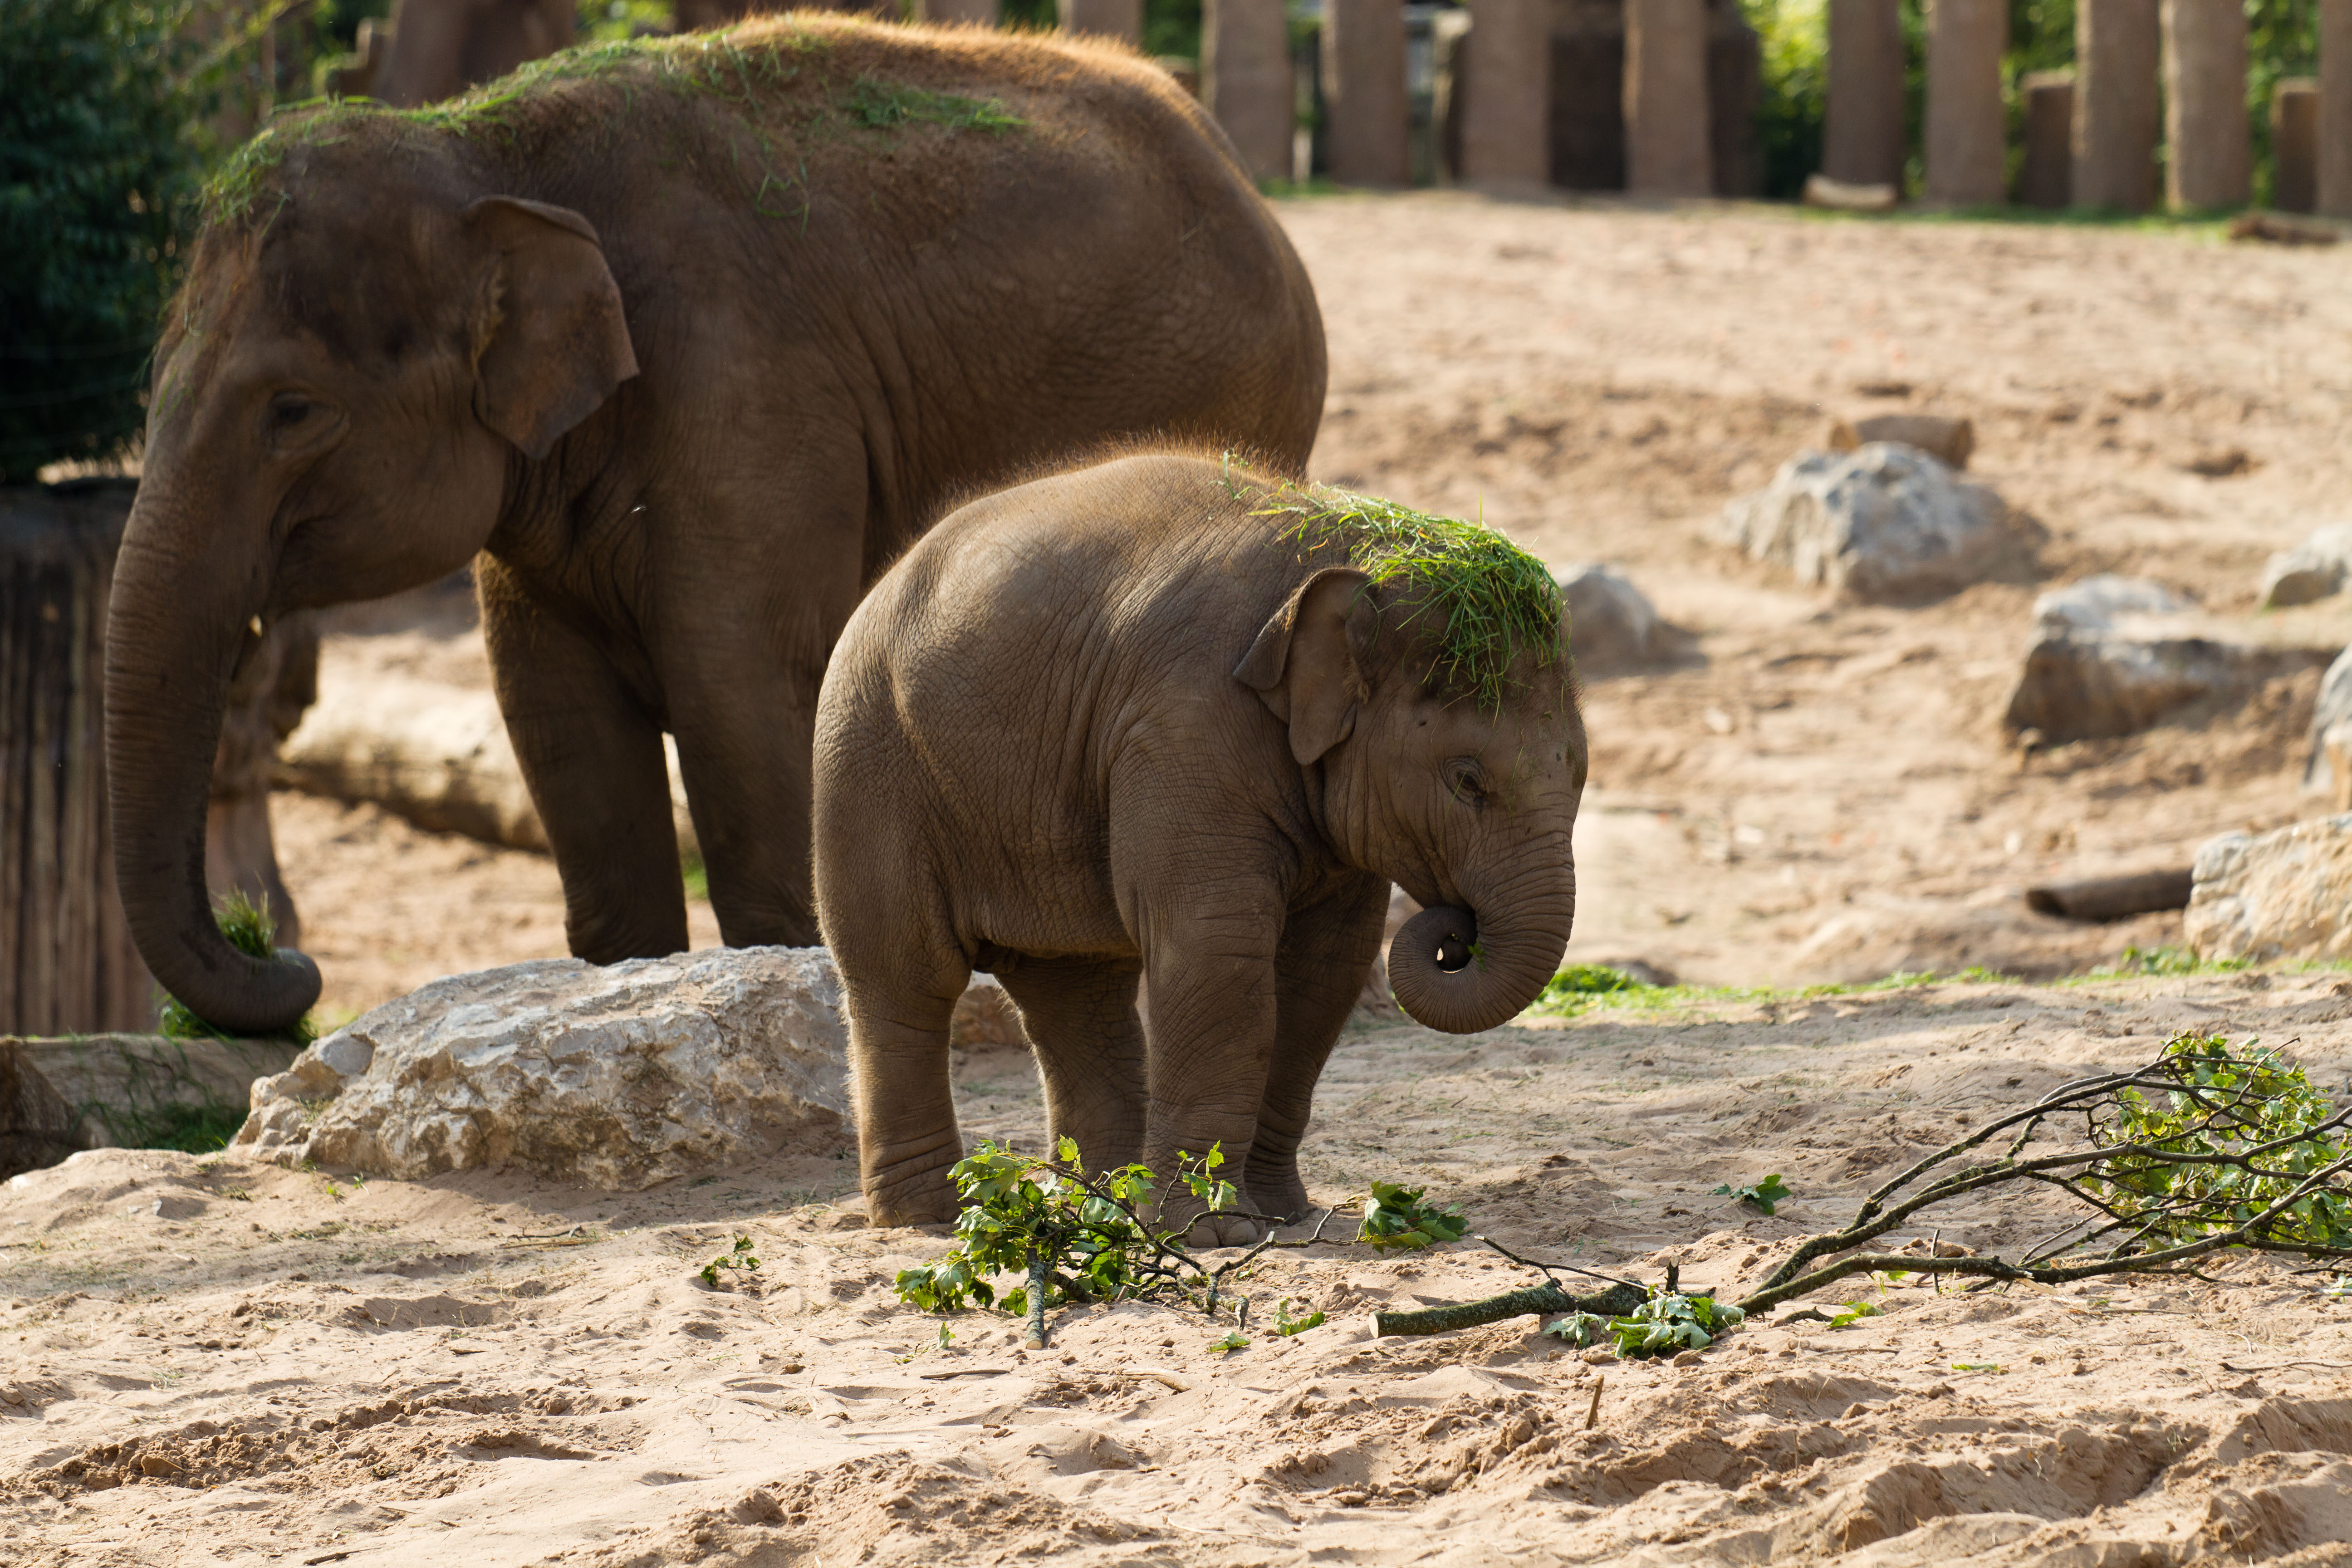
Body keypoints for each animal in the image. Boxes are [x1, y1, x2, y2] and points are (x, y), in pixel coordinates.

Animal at [107, 16, 1326, 1036]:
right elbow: (560, 731)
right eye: (150, 382)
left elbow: (742, 704)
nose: (285, 960)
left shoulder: (750, 407)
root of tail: (1229, 158)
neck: (487, 151)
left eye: (292, 412)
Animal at [812, 453, 1585, 1240]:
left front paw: (1280, 1213)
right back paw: (934, 1218)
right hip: (868, 763)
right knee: (905, 980)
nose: (1455, 934)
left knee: (1076, 991)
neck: (1347, 552)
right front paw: (1211, 1231)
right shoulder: (1185, 729)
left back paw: (1104, 1205)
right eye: (1468, 781)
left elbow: (1324, 972)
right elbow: (1216, 951)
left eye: (1581, 770)